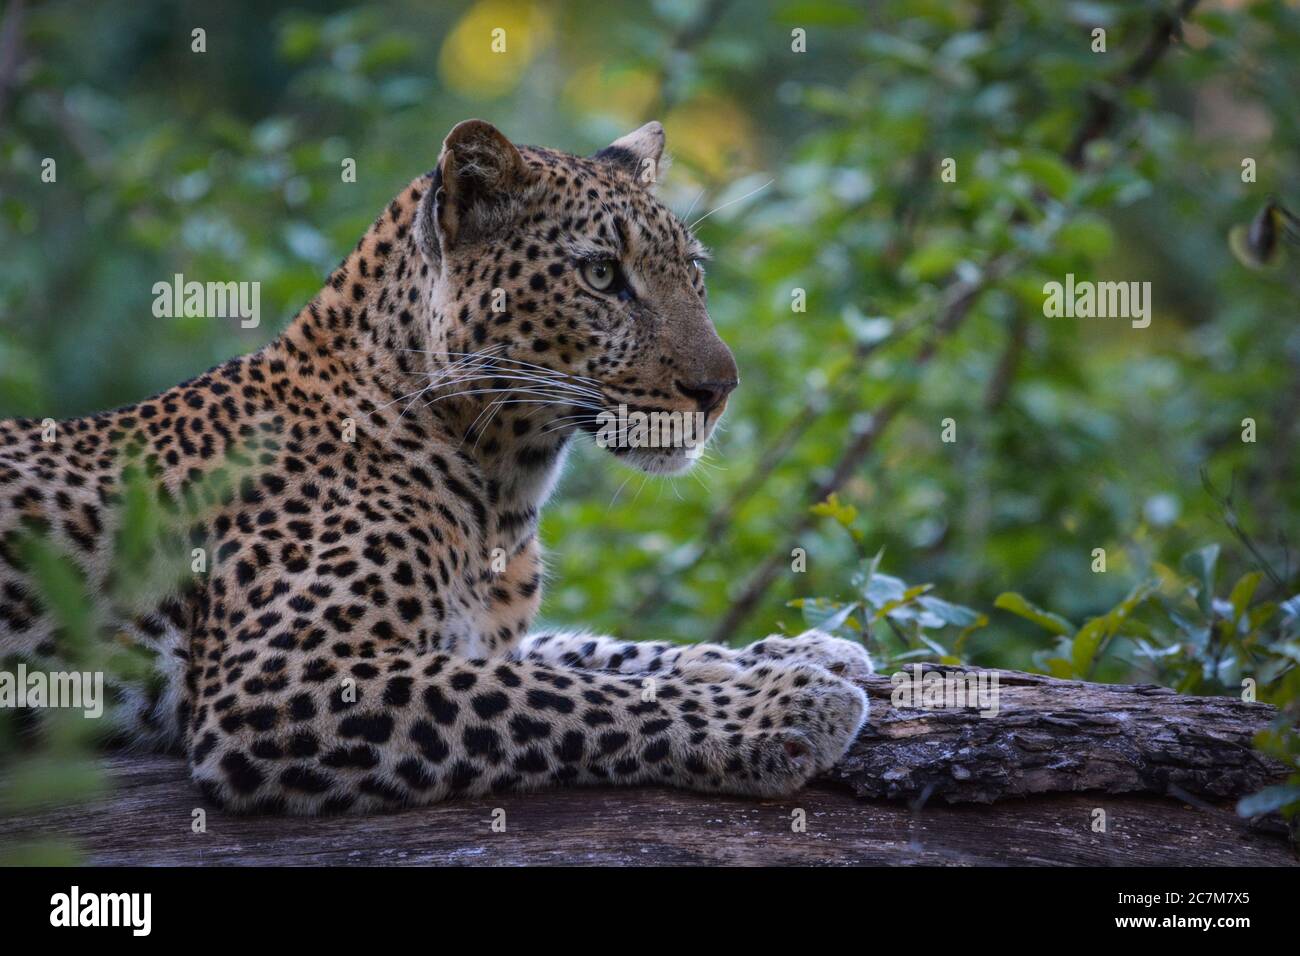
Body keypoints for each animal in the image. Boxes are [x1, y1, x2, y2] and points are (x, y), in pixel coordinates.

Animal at [0, 119, 870, 813]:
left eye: (695, 272)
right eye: (601, 275)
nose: (719, 390)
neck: (505, 485)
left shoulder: (477, 635)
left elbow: (597, 651)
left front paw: (795, 652)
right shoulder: (280, 679)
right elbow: (563, 694)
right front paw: (784, 708)